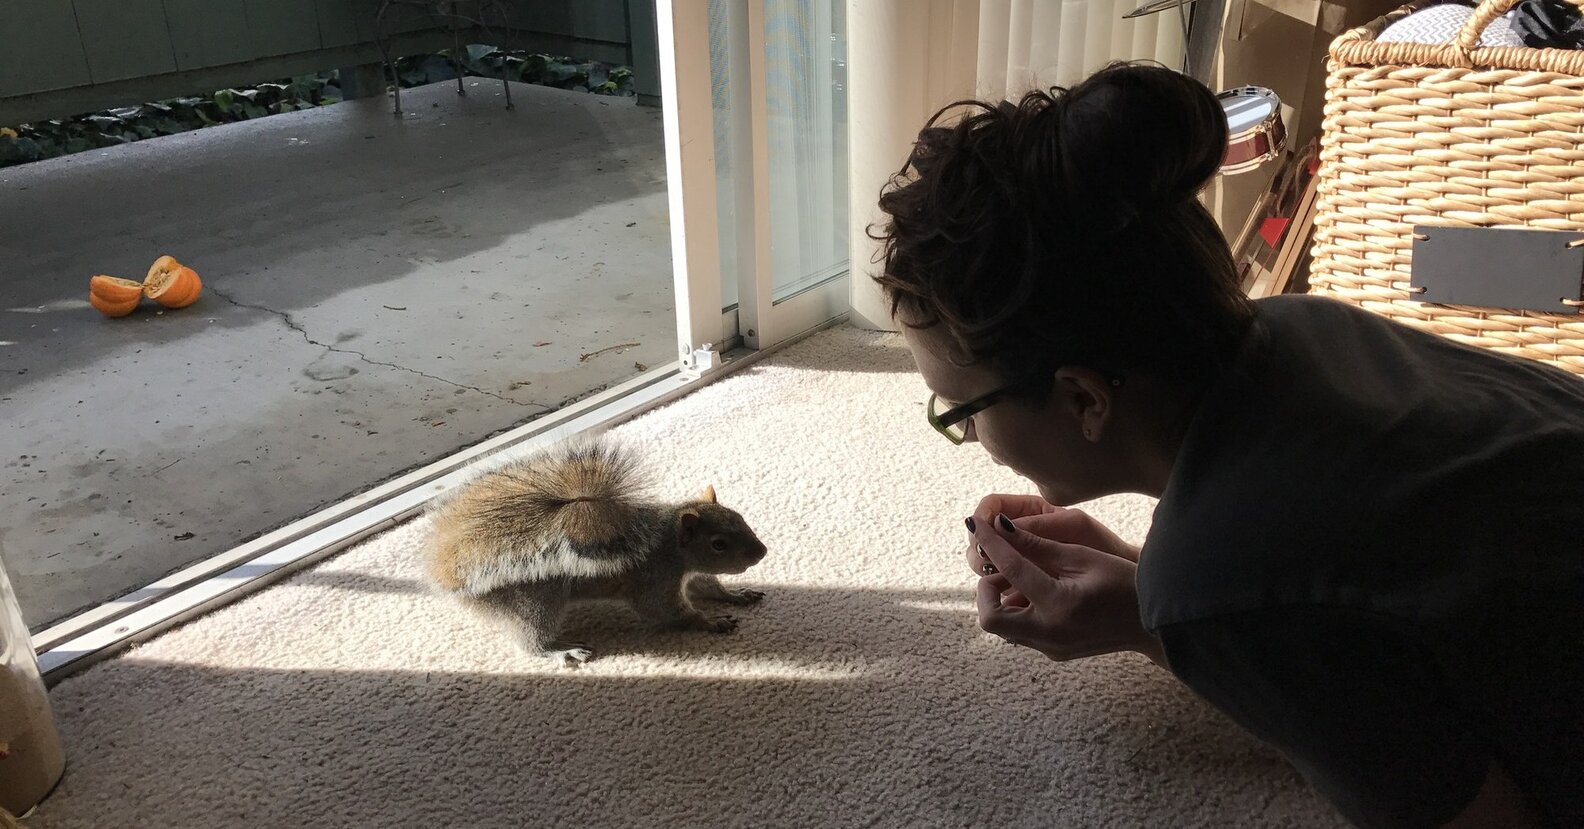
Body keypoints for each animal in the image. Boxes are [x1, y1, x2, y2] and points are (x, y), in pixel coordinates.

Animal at [421, 439, 768, 666]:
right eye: (718, 543)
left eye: (739, 517)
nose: (762, 553)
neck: (673, 549)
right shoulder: (655, 580)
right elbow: (667, 613)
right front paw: (710, 622)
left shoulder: (690, 575)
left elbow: (710, 587)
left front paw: (737, 595)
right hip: (535, 601)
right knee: (531, 641)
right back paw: (561, 651)